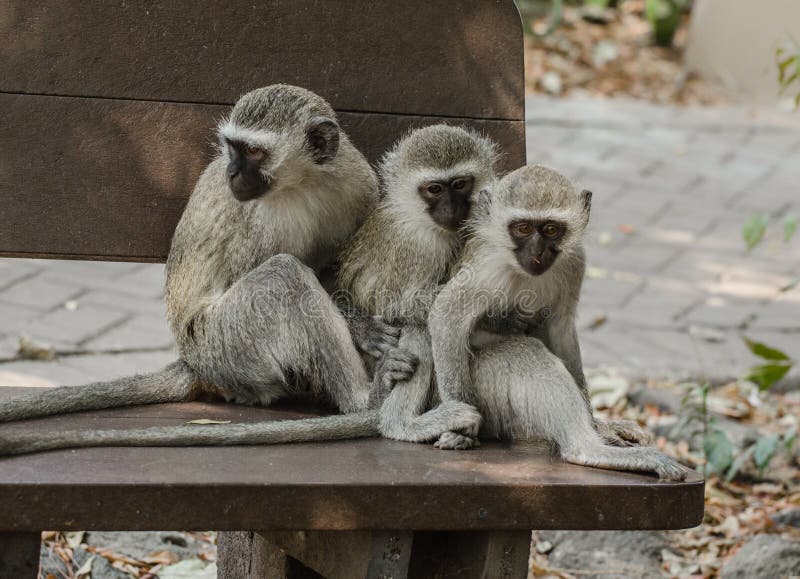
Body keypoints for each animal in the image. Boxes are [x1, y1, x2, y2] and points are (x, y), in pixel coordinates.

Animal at [0, 124, 498, 455]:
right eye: (435, 189)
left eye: (461, 185)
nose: (455, 208)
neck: (305, 185)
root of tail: (193, 361)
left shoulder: (357, 180)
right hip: (225, 343)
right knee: (283, 276)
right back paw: (367, 400)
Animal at [427, 165, 687, 480]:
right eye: (523, 228)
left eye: (551, 229)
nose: (537, 252)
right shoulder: (486, 270)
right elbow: (445, 315)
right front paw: (460, 426)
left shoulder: (575, 261)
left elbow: (561, 329)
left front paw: (598, 423)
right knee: (525, 352)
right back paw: (588, 449)